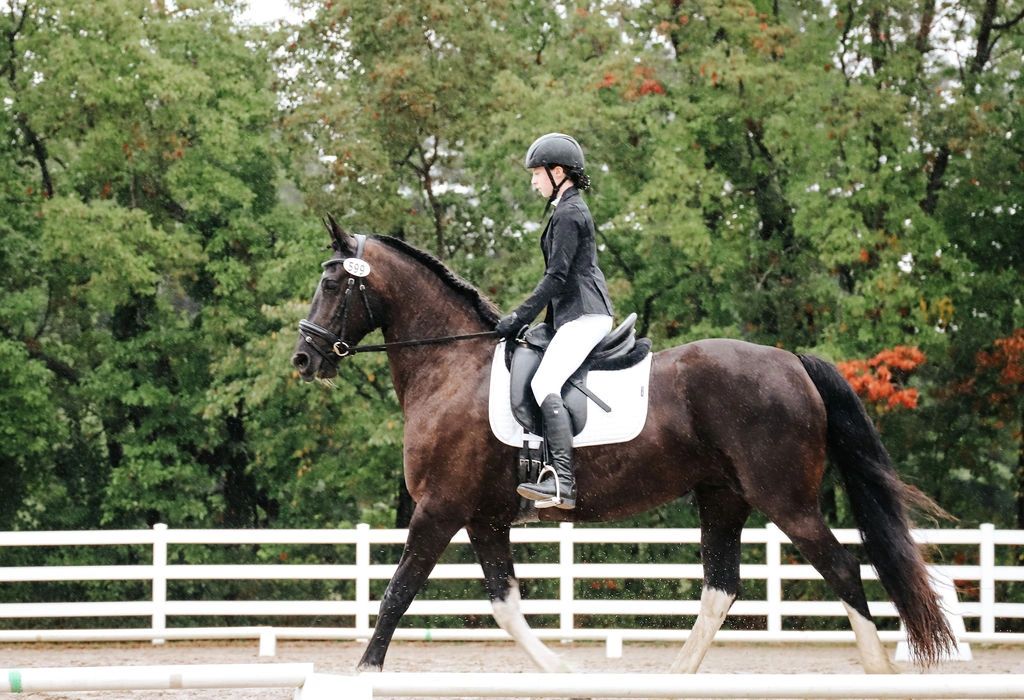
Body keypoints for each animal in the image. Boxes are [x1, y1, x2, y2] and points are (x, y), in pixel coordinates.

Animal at [291, 219, 955, 674]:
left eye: (330, 283)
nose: (304, 359)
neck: (451, 367)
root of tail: (792, 361)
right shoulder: (484, 518)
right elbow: (505, 604)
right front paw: (562, 672)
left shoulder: (439, 509)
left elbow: (396, 594)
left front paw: (362, 676)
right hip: (721, 496)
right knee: (721, 587)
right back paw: (677, 677)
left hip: (786, 500)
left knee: (842, 569)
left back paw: (878, 672)